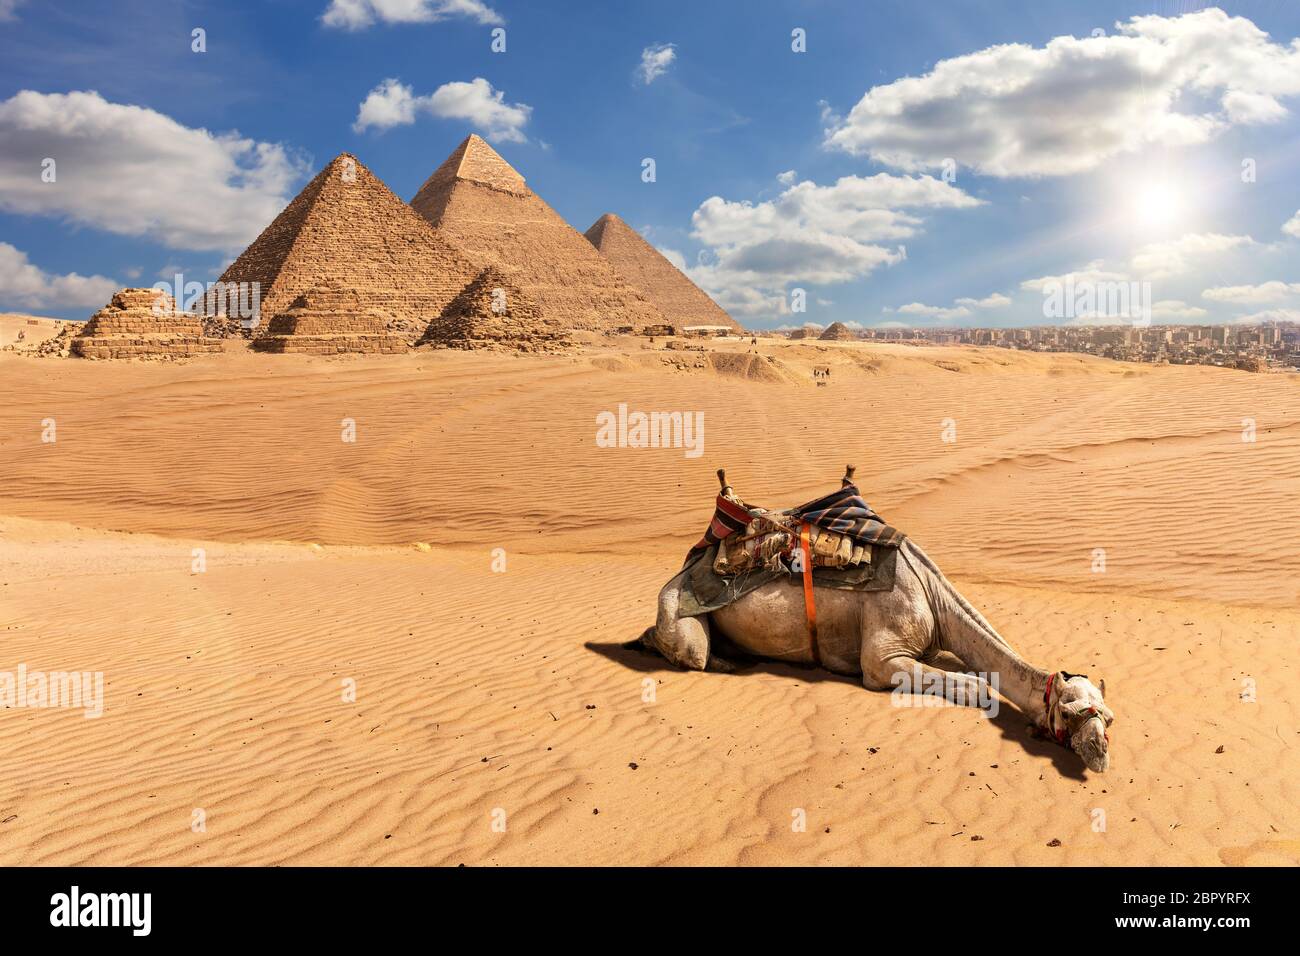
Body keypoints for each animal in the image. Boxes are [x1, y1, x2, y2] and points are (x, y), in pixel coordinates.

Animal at [641, 471, 1115, 773]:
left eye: (1108, 717)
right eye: (1069, 713)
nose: (1100, 752)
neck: (933, 597)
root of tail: (687, 566)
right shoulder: (883, 658)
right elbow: (979, 687)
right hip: (677, 610)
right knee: (691, 651)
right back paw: (720, 660)